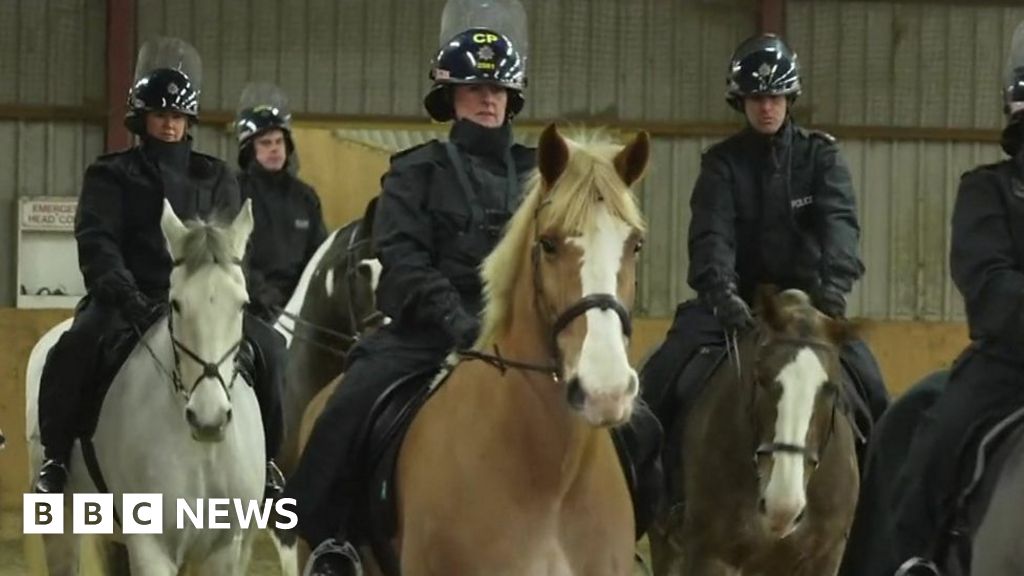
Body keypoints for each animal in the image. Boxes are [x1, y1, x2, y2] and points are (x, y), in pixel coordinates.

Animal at [25, 200, 292, 576]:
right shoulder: (152, 547)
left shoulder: (224, 549)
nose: (208, 419)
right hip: (62, 523)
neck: (201, 451)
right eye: (176, 303)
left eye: (242, 304)